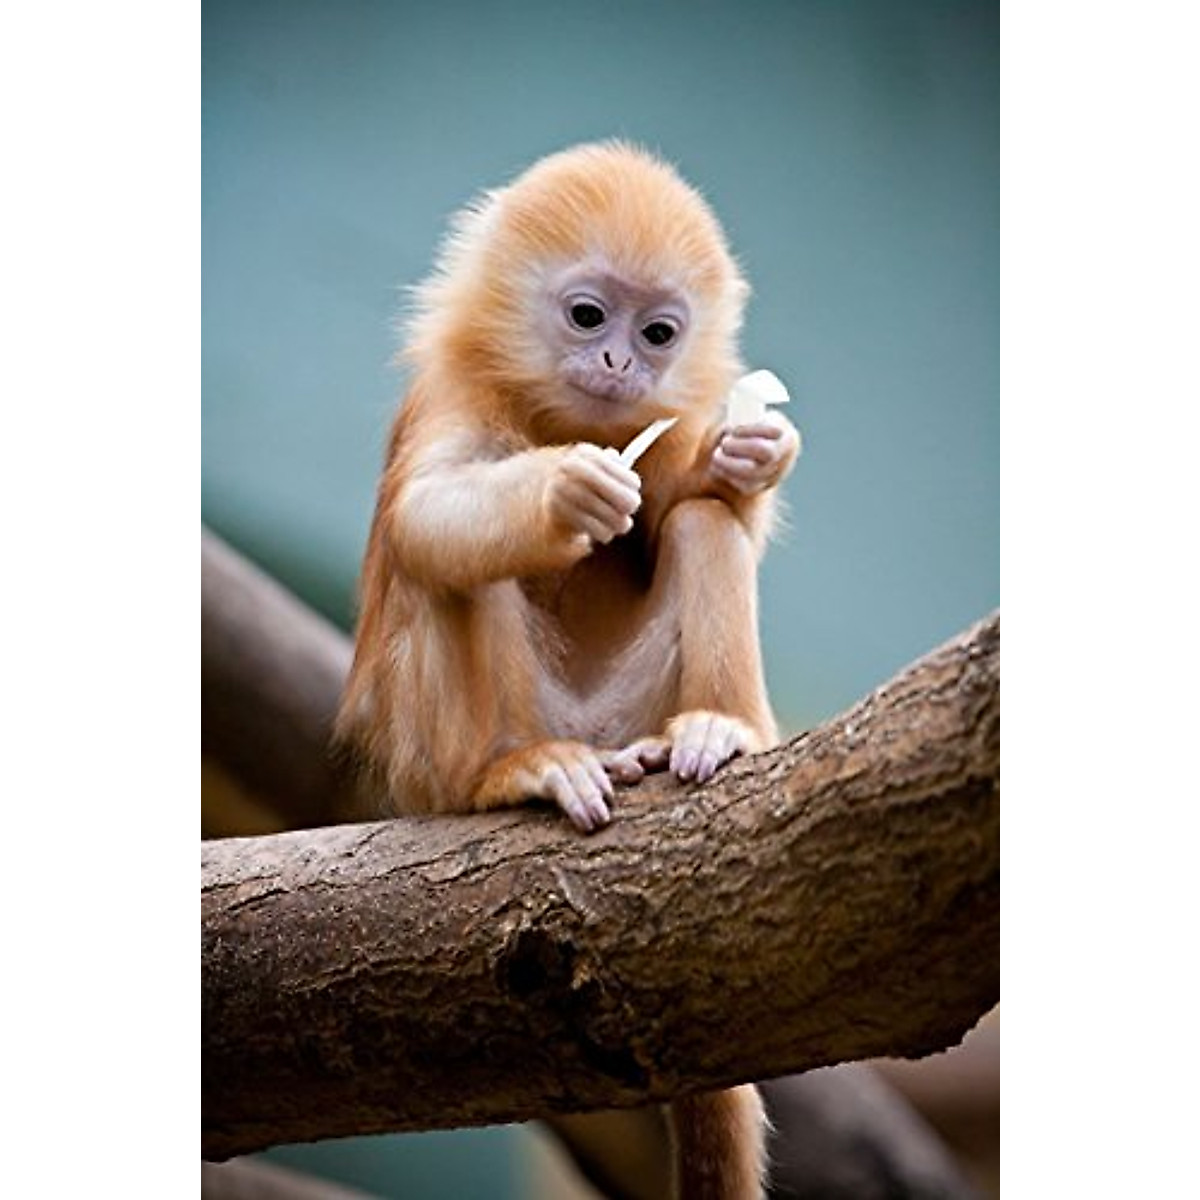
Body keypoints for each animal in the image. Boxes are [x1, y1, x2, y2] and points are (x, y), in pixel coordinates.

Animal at [336, 142, 800, 1199]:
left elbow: (690, 501)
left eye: (659, 332)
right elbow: (431, 521)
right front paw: (564, 491)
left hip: (637, 707)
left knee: (701, 528)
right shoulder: (454, 400)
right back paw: (521, 769)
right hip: (439, 758)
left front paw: (751, 453)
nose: (621, 361)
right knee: (469, 567)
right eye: (589, 316)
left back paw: (722, 730)